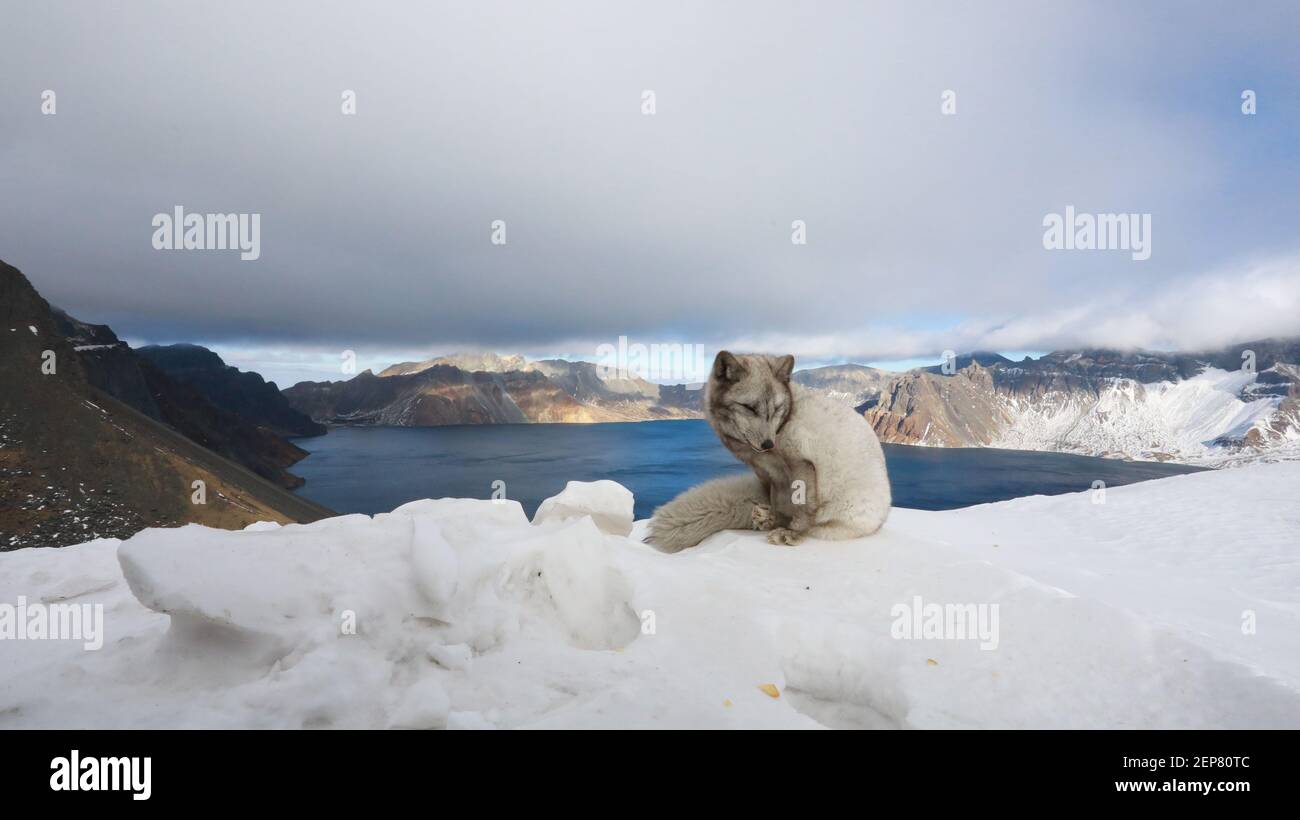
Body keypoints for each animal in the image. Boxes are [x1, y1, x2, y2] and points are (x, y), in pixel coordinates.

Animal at [646, 351, 891, 552]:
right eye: (749, 407)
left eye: (777, 408)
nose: (767, 443)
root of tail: (881, 521)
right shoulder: (767, 473)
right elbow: (776, 502)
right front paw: (774, 520)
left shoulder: (803, 463)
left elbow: (803, 509)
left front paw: (793, 533)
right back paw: (768, 520)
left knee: (817, 525)